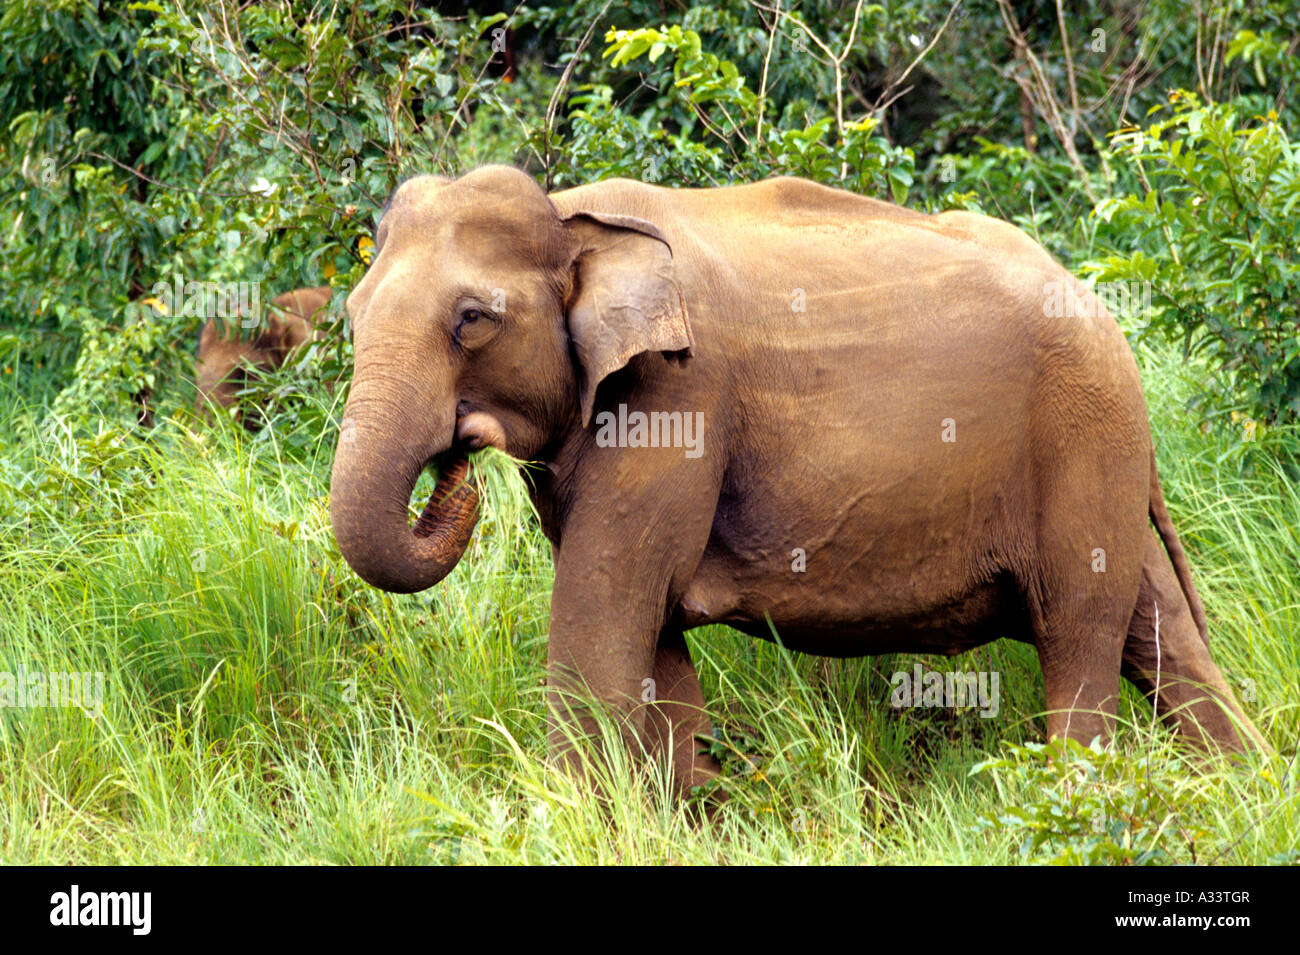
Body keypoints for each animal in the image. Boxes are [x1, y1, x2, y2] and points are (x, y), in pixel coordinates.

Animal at [329, 165, 1264, 796]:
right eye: (351, 314)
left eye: (472, 320)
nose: (459, 463)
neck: (572, 215)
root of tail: (1102, 312)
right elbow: (651, 634)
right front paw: (690, 812)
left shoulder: (678, 398)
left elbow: (606, 611)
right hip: (1101, 452)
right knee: (1158, 628)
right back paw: (1244, 784)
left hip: (1082, 434)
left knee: (1078, 627)